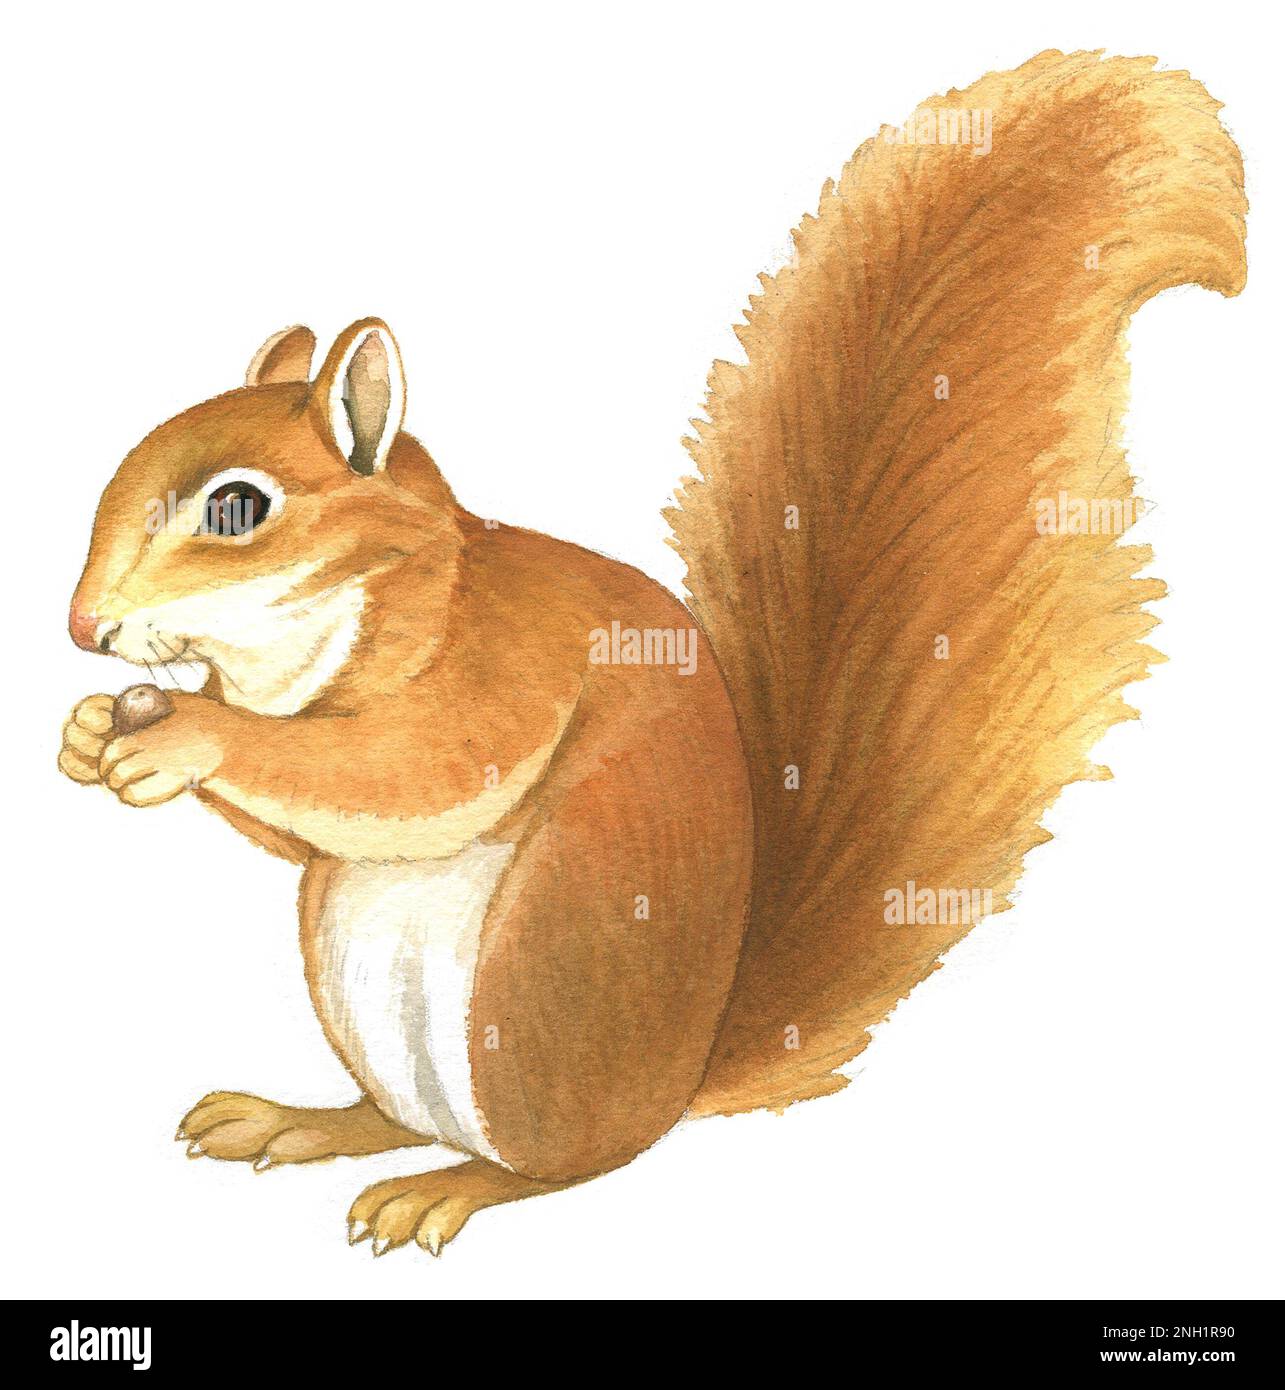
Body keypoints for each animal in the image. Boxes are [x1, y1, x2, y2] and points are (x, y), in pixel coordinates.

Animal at [60, 51, 1246, 1257]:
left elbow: (414, 770)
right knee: (393, 1114)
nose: (82, 627)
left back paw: (448, 1188)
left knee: (559, 1164)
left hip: (538, 982)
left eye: (238, 508)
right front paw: (91, 732)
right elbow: (295, 829)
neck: (313, 638)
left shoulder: (508, 656)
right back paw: (297, 1121)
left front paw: (185, 734)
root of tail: (677, 1083)